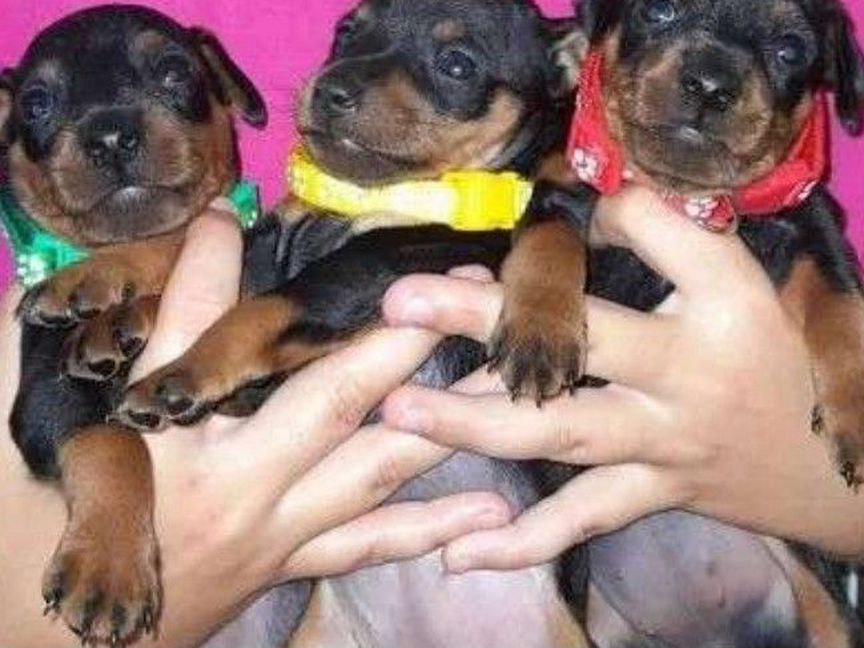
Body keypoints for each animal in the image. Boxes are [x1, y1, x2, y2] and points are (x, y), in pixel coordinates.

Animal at [1, 5, 266, 643]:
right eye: (36, 102)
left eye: (173, 70)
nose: (110, 135)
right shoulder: (43, 393)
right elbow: (112, 439)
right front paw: (107, 569)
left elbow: (175, 235)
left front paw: (100, 293)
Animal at [115, 0, 864, 646]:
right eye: (345, 33)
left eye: (457, 63)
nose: (330, 89)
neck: (374, 198)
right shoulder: (282, 242)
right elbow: (247, 272)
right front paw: (121, 316)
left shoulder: (388, 265)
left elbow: (272, 306)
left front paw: (184, 371)